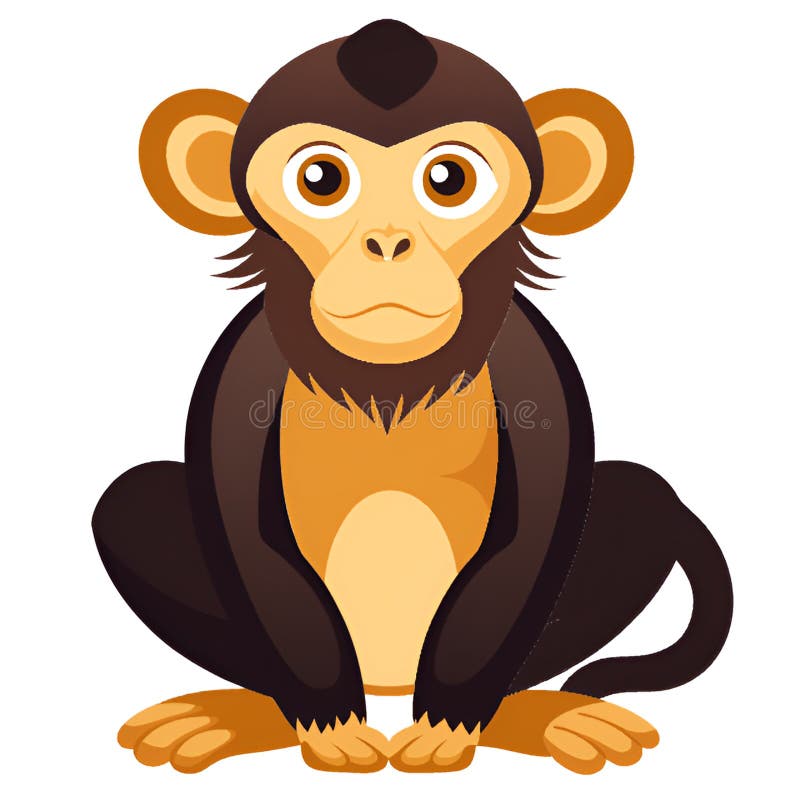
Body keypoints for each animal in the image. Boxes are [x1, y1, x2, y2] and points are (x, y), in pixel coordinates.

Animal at [92, 19, 733, 774]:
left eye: (449, 180)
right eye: (320, 179)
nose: (387, 243)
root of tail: (388, 684)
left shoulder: (537, 364)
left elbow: (529, 542)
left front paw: (450, 725)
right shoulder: (240, 368)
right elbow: (249, 544)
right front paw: (330, 725)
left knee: (643, 498)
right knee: (131, 502)